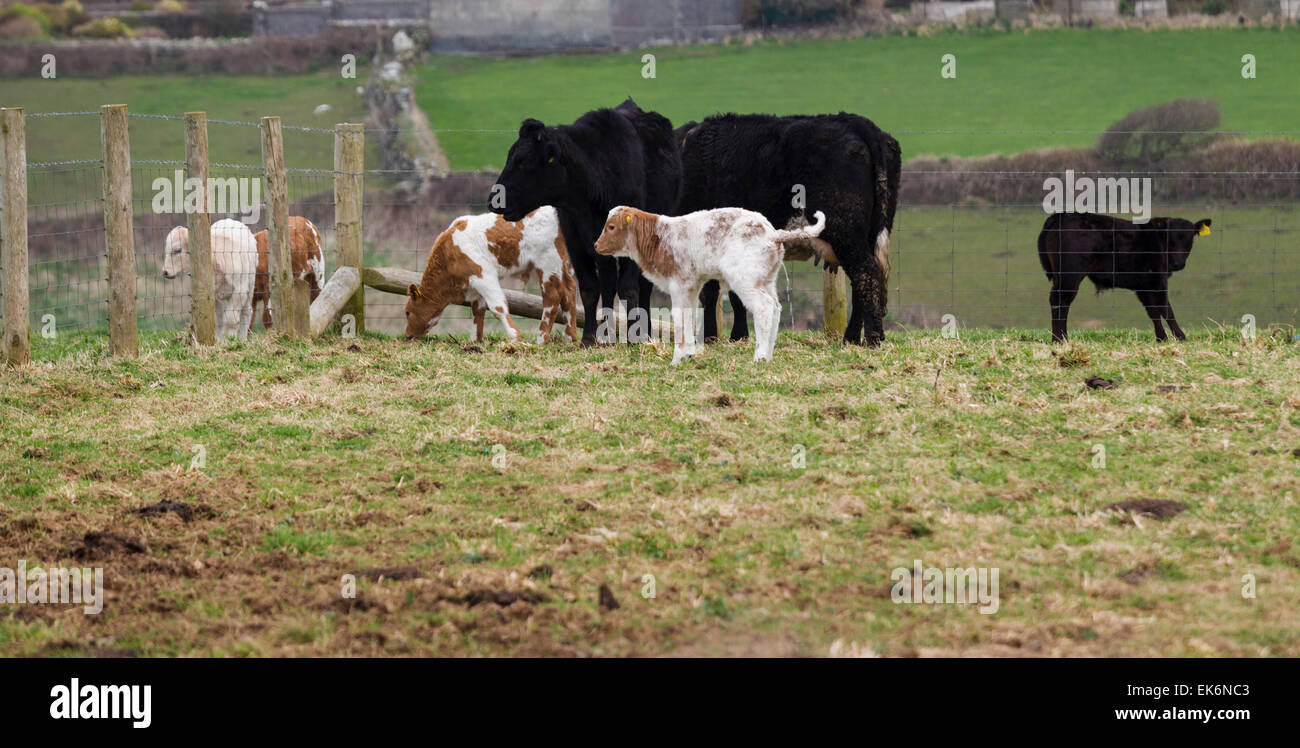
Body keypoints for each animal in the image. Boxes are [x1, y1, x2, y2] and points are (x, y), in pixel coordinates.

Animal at [404, 206, 578, 343]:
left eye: (407, 312)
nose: (407, 335)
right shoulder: (476, 284)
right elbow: (478, 309)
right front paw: (475, 340)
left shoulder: (483, 275)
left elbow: (497, 307)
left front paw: (515, 337)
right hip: (562, 266)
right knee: (569, 290)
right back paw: (570, 337)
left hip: (548, 262)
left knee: (552, 297)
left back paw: (541, 338)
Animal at [492, 98, 682, 345]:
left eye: (525, 162)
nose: (493, 199)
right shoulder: (574, 238)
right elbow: (591, 288)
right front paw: (590, 338)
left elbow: (629, 288)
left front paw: (635, 337)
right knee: (609, 284)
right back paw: (608, 334)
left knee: (644, 286)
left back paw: (644, 332)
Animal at [674, 113, 900, 346]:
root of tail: (853, 121)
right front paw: (738, 336)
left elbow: (712, 292)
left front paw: (712, 337)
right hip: (871, 234)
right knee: (864, 281)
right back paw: (853, 338)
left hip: (845, 232)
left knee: (865, 273)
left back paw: (870, 338)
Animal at [1037, 212, 1211, 342]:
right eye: (1170, 240)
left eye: (1190, 240)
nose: (1177, 263)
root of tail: (1059, 216)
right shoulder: (1157, 279)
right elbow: (1166, 307)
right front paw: (1180, 336)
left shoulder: (1144, 285)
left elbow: (1153, 311)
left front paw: (1161, 338)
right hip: (1070, 274)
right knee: (1060, 300)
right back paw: (1060, 339)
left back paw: (1059, 338)